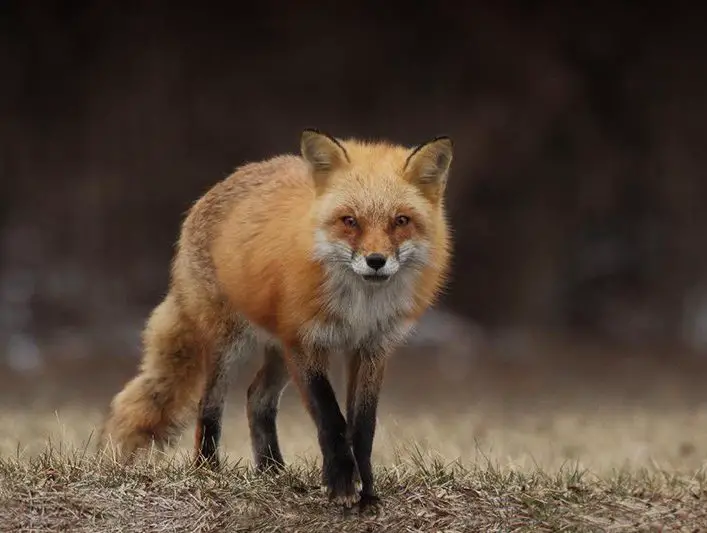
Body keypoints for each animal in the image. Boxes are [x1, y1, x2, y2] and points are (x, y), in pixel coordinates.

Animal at [98, 129, 453, 508]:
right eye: (349, 221)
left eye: (401, 221)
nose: (375, 261)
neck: (359, 307)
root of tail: (222, 183)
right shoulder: (306, 343)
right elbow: (331, 419)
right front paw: (341, 486)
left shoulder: (371, 348)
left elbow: (363, 427)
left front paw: (367, 492)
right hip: (232, 345)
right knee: (209, 405)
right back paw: (208, 470)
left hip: (280, 352)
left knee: (257, 398)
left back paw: (272, 471)